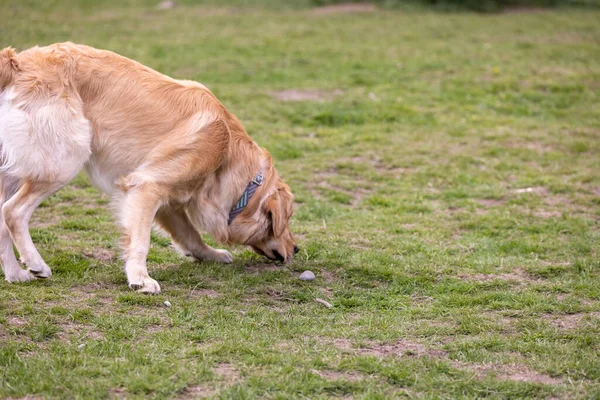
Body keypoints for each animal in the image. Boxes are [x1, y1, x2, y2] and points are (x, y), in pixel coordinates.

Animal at [0, 42, 298, 294]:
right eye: (285, 221)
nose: (295, 249)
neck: (226, 153)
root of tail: (18, 61)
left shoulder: (168, 200)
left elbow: (190, 236)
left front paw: (210, 254)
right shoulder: (146, 186)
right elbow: (141, 241)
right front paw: (140, 279)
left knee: (2, 218)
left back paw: (15, 274)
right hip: (66, 159)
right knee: (13, 212)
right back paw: (35, 263)